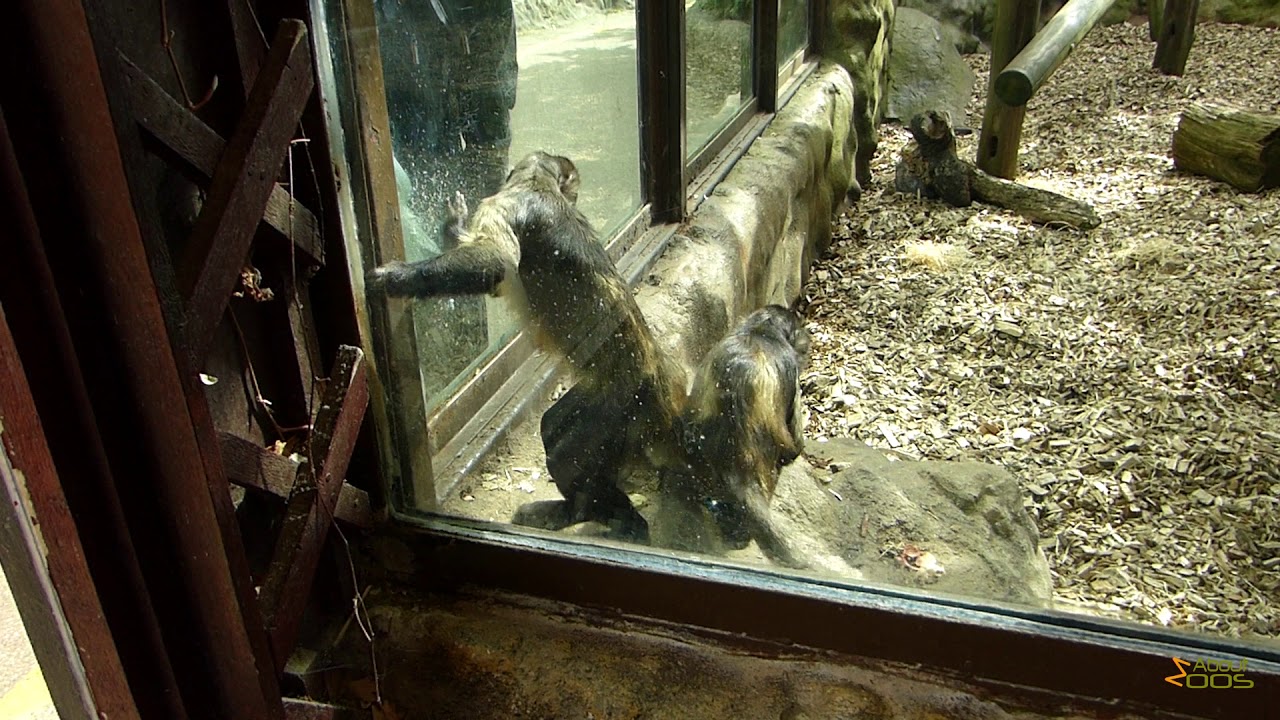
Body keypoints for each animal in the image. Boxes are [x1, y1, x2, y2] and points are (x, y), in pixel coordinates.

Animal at [367, 151, 688, 541]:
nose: (573, 196)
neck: (539, 184)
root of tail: (659, 384)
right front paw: (453, 224)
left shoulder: (505, 203)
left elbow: (495, 263)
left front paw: (398, 277)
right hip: (611, 399)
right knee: (553, 427)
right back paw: (590, 513)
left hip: (622, 404)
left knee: (566, 452)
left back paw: (621, 524)